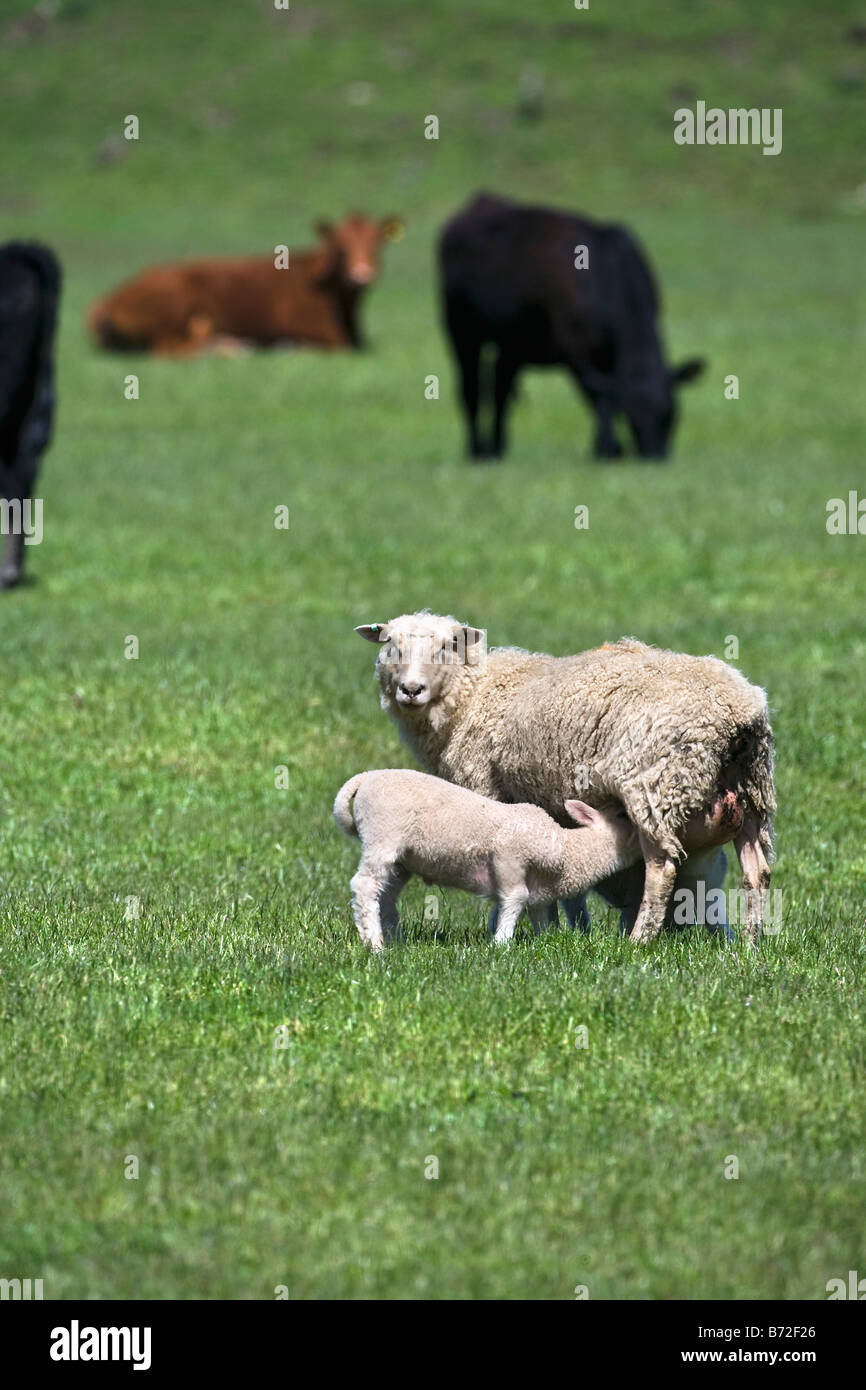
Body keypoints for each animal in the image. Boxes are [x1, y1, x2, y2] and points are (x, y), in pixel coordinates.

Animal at [86, 213, 405, 357]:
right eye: (341, 247)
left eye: (377, 244)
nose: (361, 274)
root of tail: (107, 300)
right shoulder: (325, 336)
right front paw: (289, 346)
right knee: (168, 349)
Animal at [333, 768, 638, 950]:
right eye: (622, 815)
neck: (565, 848)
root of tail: (366, 777)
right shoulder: (508, 857)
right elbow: (515, 898)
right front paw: (501, 944)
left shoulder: (540, 887)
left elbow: (538, 912)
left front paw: (544, 940)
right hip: (382, 835)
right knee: (364, 886)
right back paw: (375, 945)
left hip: (402, 860)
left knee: (385, 896)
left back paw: (396, 941)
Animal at [438, 193, 704, 461]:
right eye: (631, 415)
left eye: (671, 413)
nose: (655, 457)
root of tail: (479, 201)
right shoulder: (575, 347)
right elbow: (598, 396)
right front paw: (608, 450)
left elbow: (606, 396)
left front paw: (602, 448)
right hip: (461, 329)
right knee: (471, 388)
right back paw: (476, 451)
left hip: (513, 341)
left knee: (499, 386)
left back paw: (496, 449)